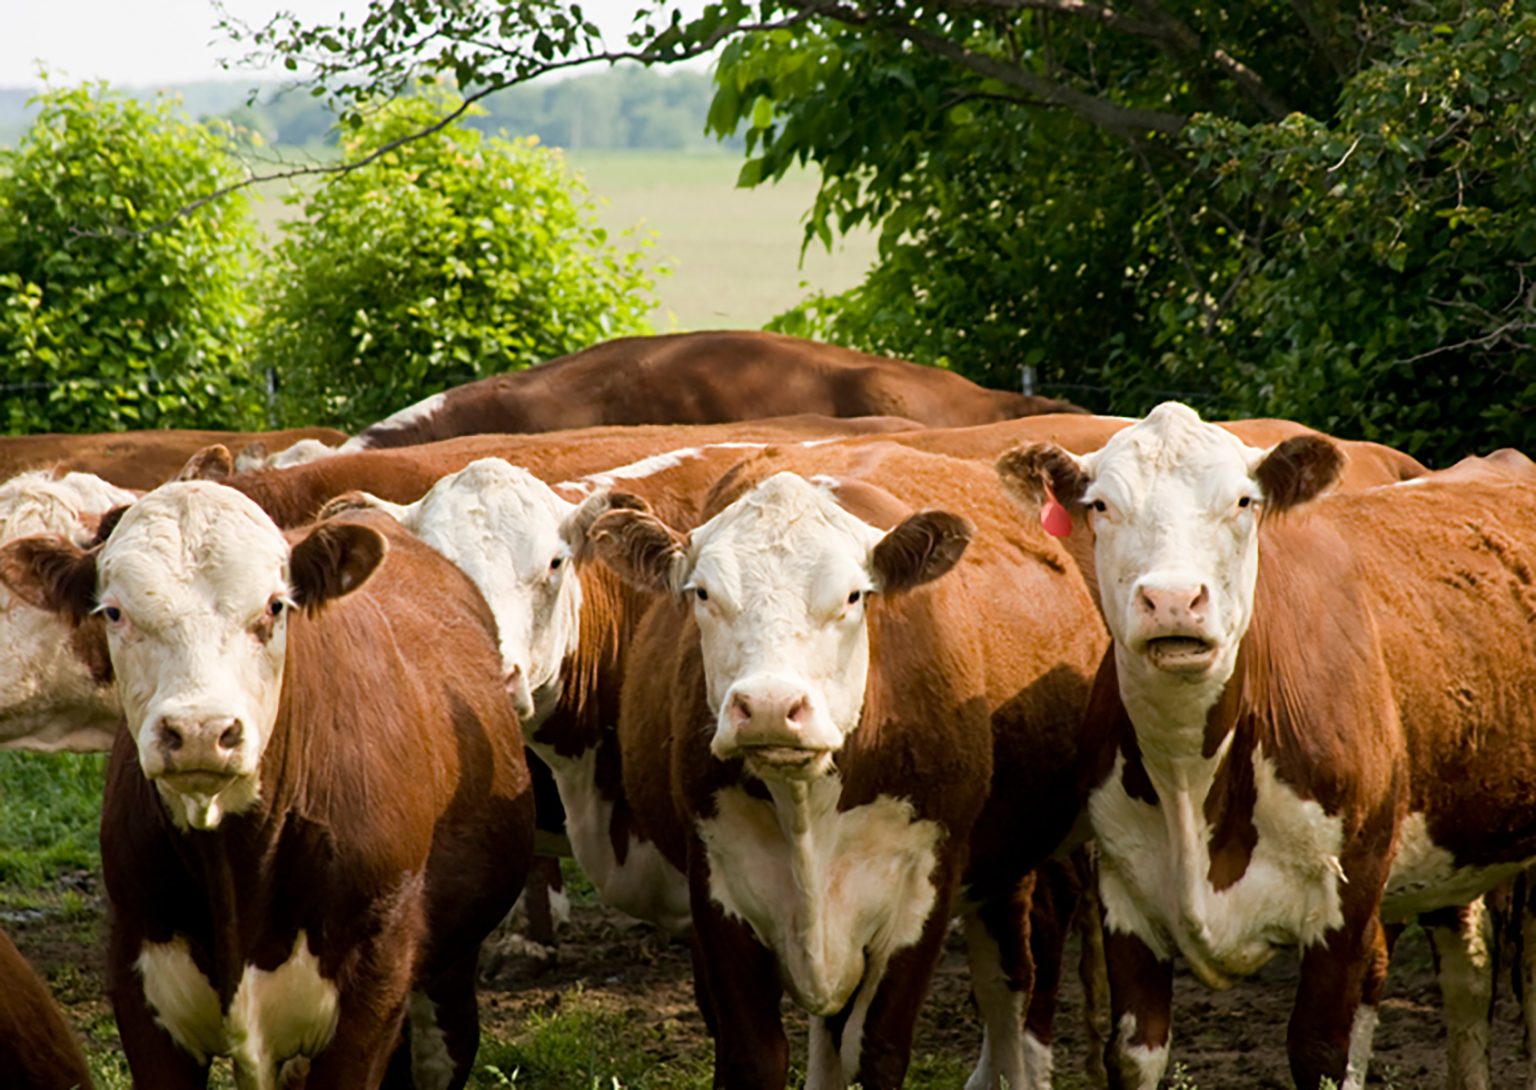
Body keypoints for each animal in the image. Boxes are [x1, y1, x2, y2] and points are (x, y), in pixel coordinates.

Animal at [587, 441, 1108, 1090]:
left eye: (854, 596)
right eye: (703, 593)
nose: (769, 706)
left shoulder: (926, 885)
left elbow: (877, 1049)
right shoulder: (715, 881)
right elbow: (755, 1054)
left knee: (1011, 974)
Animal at [996, 402, 1536, 1090]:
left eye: (1243, 501)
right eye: (1101, 505)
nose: (1172, 599)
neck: (1189, 778)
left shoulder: (1348, 899)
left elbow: (1321, 1051)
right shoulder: (1125, 898)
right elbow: (1134, 1055)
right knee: (1467, 972)